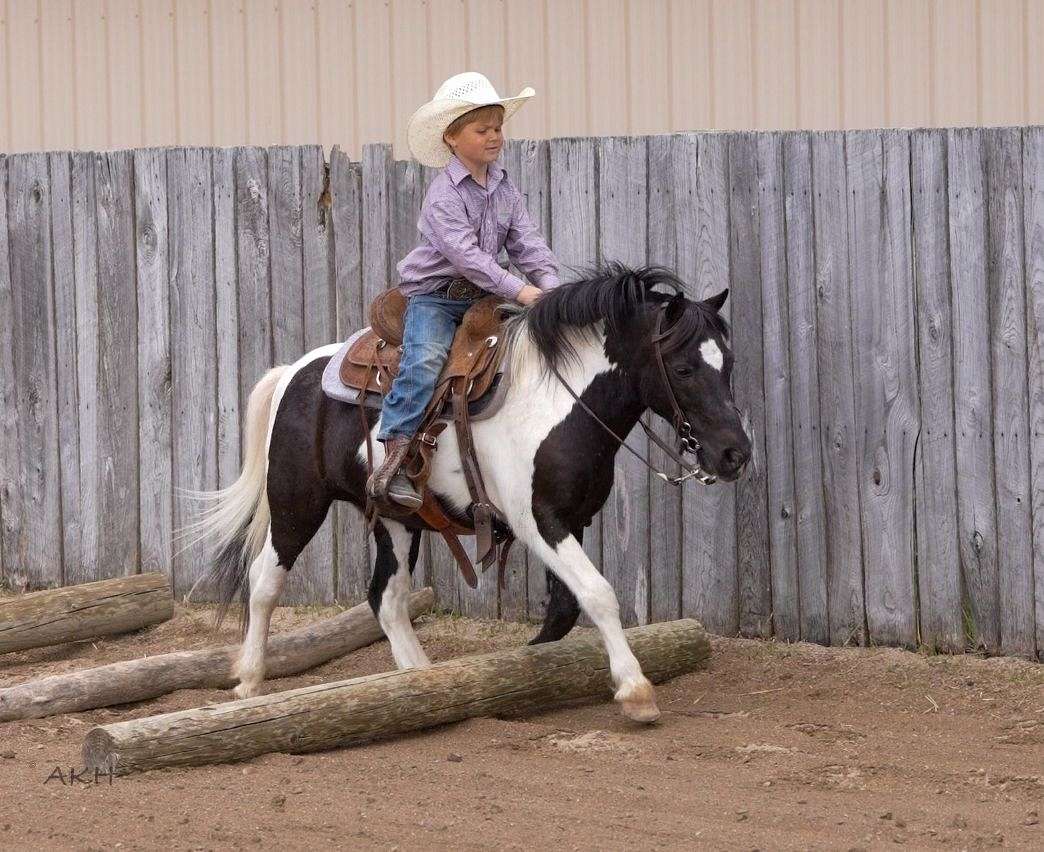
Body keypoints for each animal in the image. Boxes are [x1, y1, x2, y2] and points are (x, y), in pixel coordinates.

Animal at [185, 263, 751, 723]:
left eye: (728, 363)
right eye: (683, 367)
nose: (734, 455)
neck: (553, 402)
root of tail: (294, 372)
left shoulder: (573, 520)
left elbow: (565, 609)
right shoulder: (538, 520)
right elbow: (598, 594)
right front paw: (635, 691)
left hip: (396, 518)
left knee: (387, 598)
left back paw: (421, 681)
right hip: (296, 502)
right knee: (265, 581)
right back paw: (250, 681)